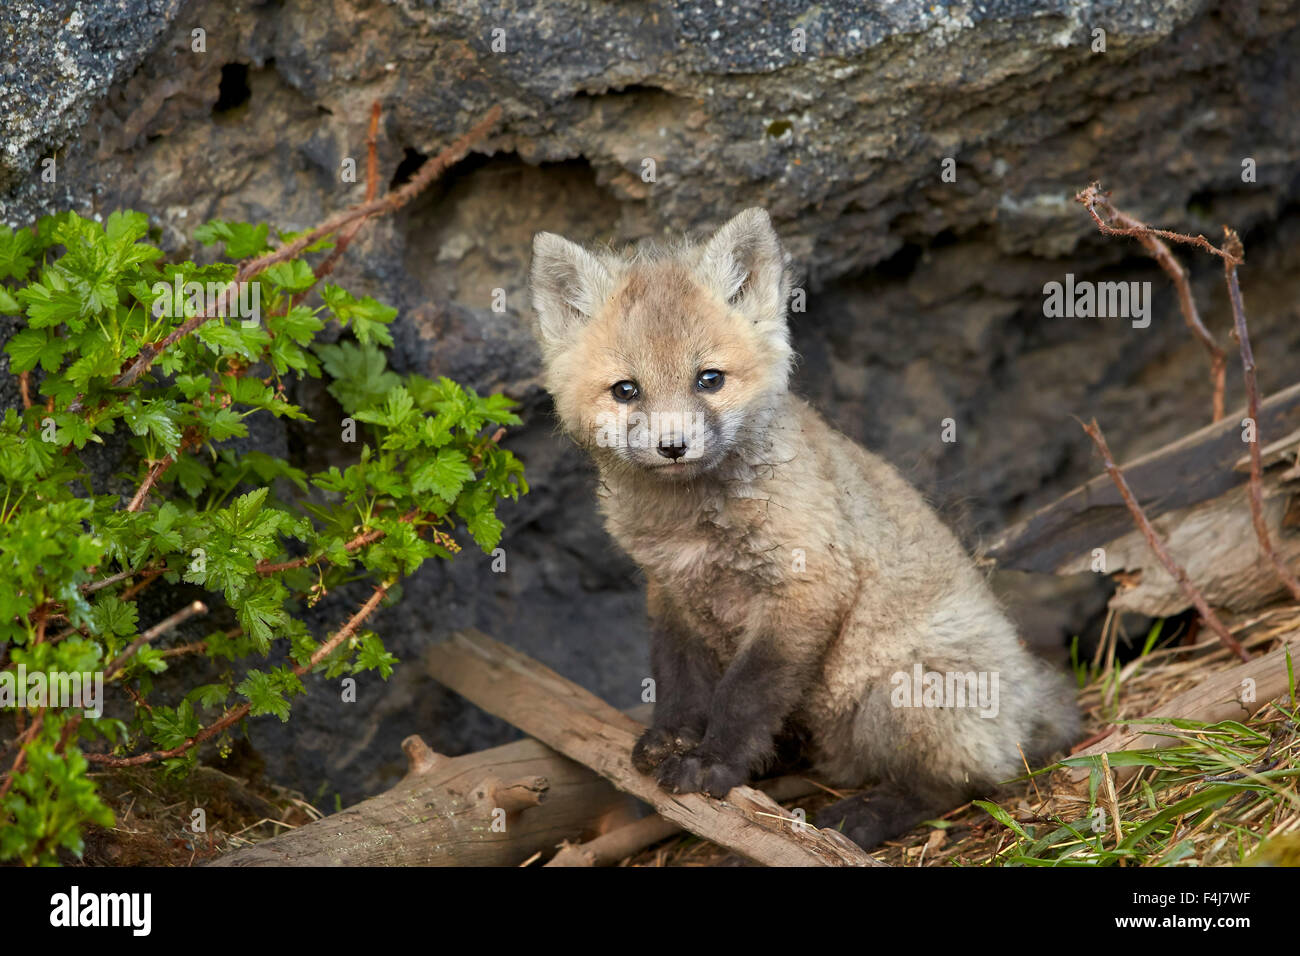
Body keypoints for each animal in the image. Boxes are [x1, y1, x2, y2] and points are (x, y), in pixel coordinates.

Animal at [527, 208, 1080, 850]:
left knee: (963, 782)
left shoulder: (807, 584)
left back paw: (864, 816)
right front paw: (672, 738)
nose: (673, 445)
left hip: (900, 694)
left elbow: (744, 694)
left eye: (708, 379)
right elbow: (677, 679)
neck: (693, 526)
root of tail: (1030, 695)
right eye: (626, 390)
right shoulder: (669, 591)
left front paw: (712, 762)